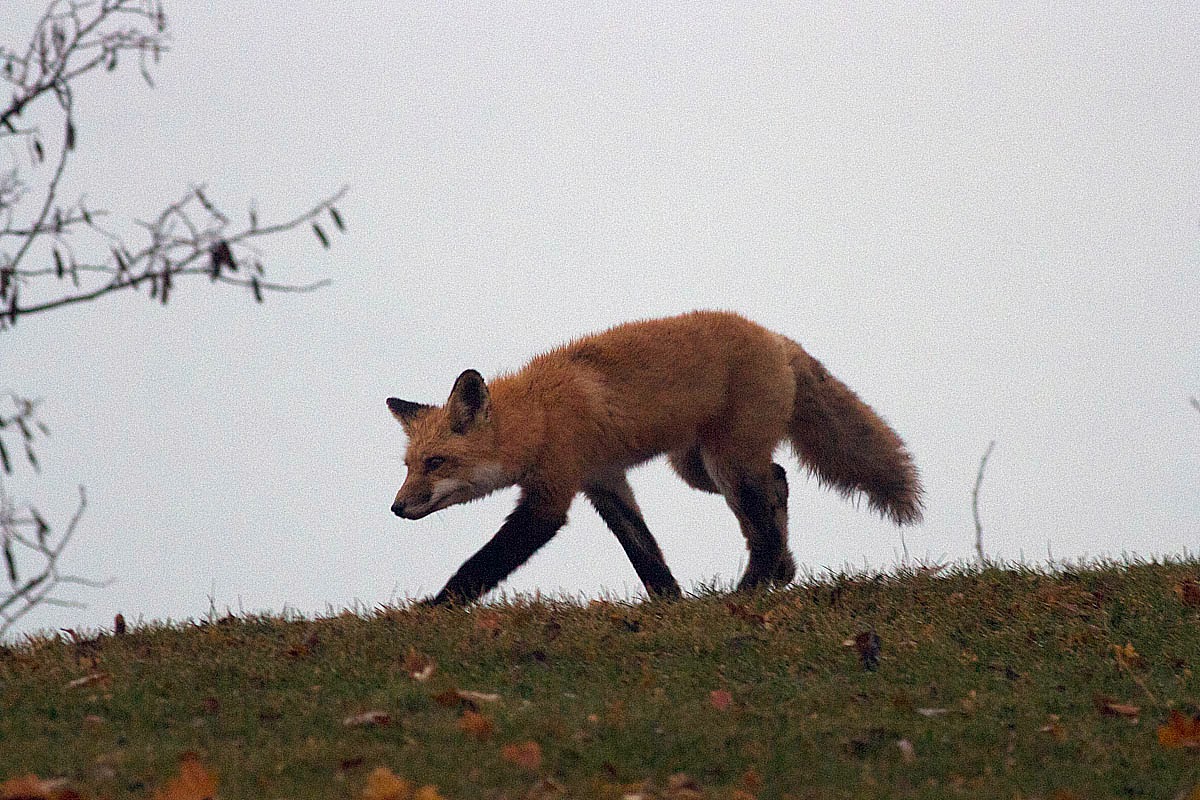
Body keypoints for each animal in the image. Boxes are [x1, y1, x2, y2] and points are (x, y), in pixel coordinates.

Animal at [386, 310, 922, 606]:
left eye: (436, 463)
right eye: (409, 466)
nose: (396, 507)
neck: (540, 415)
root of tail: (775, 337)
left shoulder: (551, 495)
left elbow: (479, 566)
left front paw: (433, 610)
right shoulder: (603, 481)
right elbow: (644, 553)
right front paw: (670, 606)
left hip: (727, 464)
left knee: (766, 521)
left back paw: (746, 593)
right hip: (702, 469)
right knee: (778, 480)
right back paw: (782, 572)